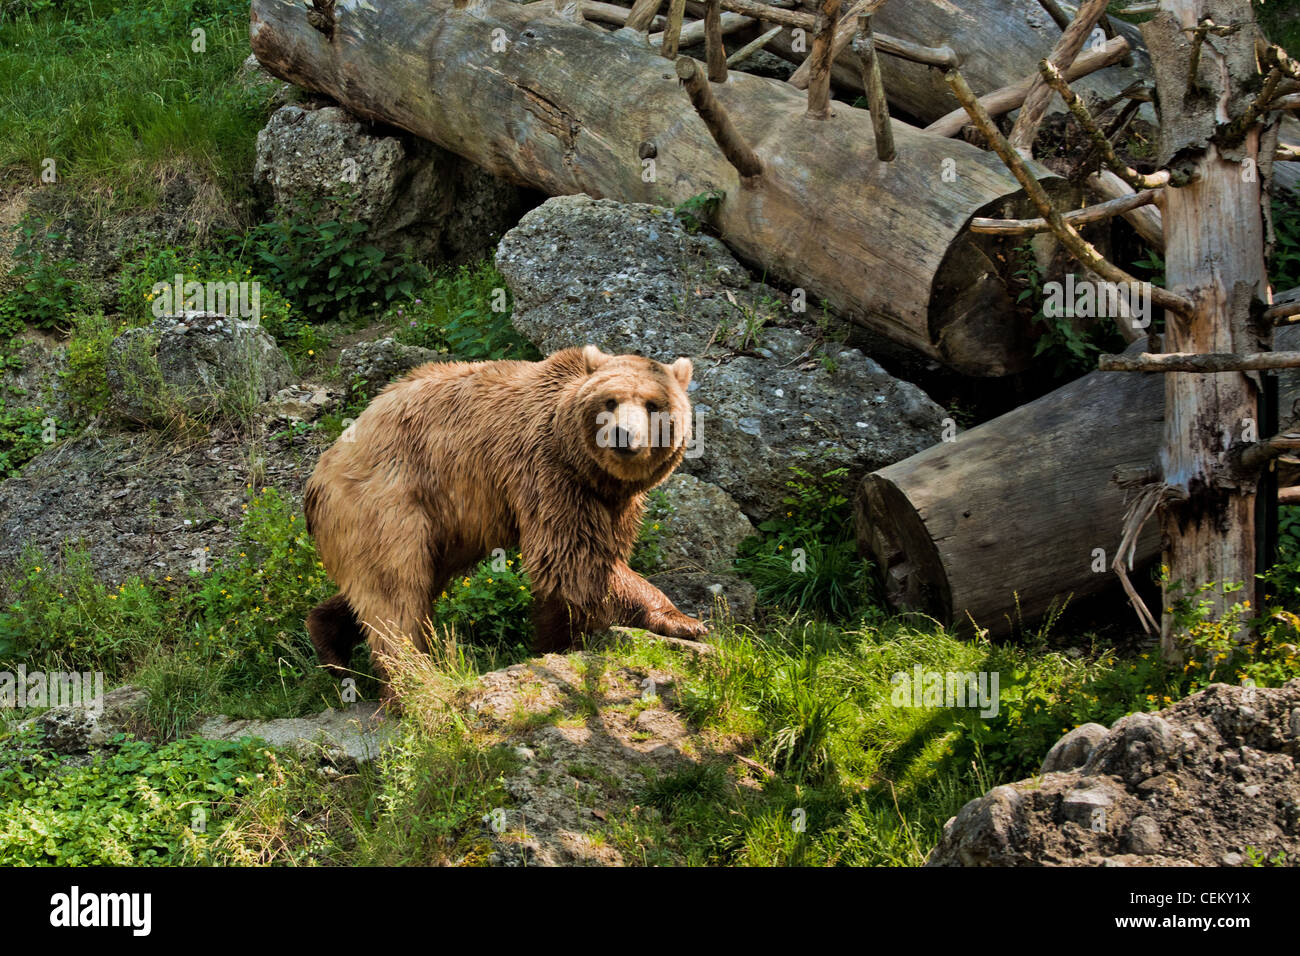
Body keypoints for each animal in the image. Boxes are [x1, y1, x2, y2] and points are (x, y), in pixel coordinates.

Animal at [302, 344, 708, 698]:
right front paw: (685, 621)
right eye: (610, 400)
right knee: (395, 593)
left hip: (435, 524)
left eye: (653, 404)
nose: (624, 435)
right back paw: (412, 681)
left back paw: (330, 644)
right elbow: (572, 557)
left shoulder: (610, 501)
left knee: (395, 584)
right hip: (388, 498)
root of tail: (319, 474)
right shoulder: (546, 469)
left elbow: (575, 575)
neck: (587, 468)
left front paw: (554, 643)